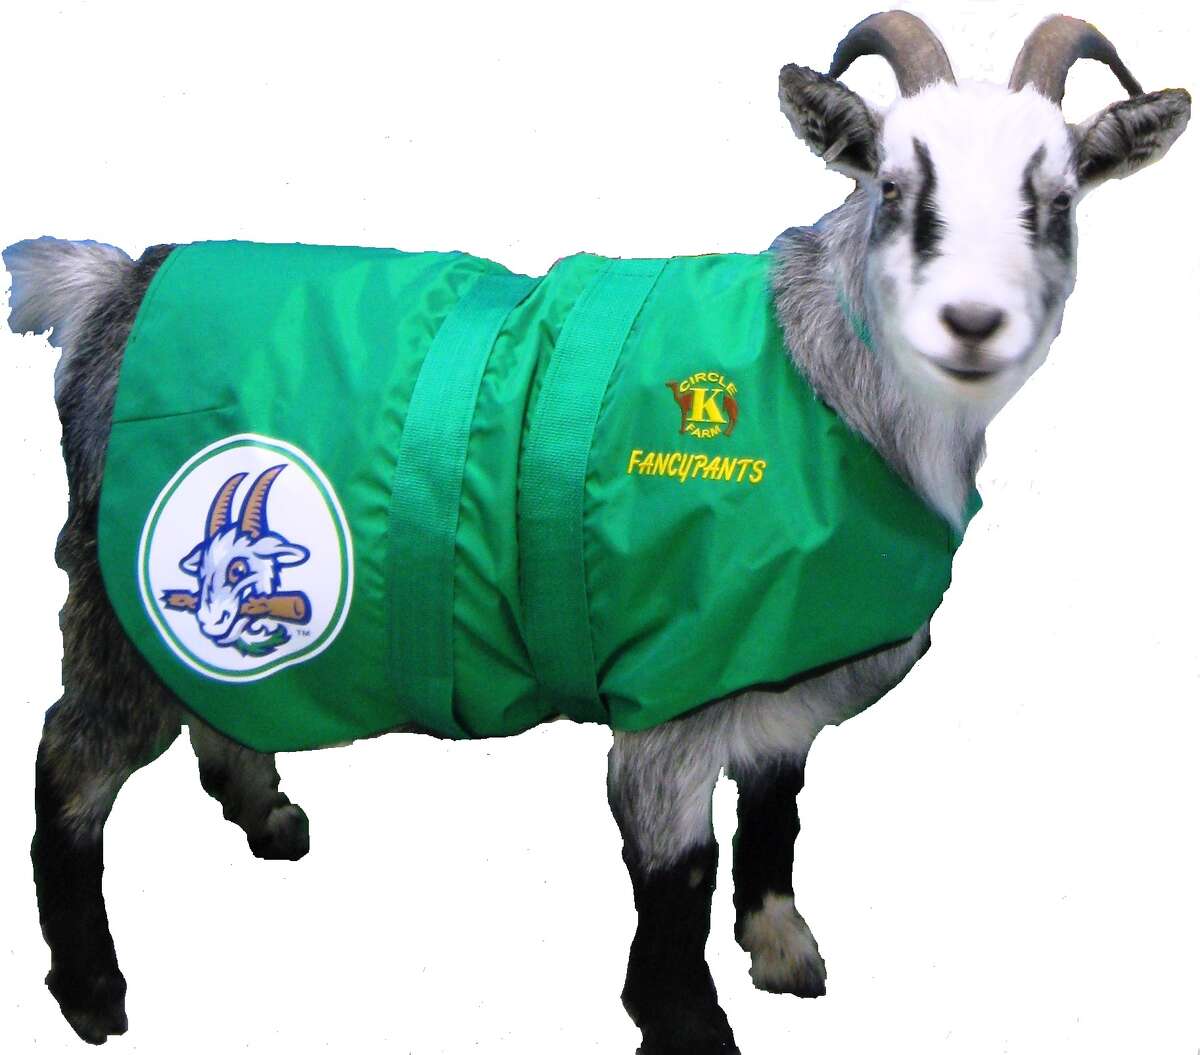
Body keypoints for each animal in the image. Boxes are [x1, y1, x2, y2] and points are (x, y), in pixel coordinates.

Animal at [2, 11, 1190, 1054]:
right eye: (894, 188)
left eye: (1059, 200)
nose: (974, 321)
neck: (821, 395)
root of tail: (111, 285)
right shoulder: (669, 688)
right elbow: (675, 882)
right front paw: (688, 1023)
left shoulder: (775, 672)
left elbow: (775, 811)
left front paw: (782, 948)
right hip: (113, 590)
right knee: (72, 757)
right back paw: (91, 991)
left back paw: (265, 813)